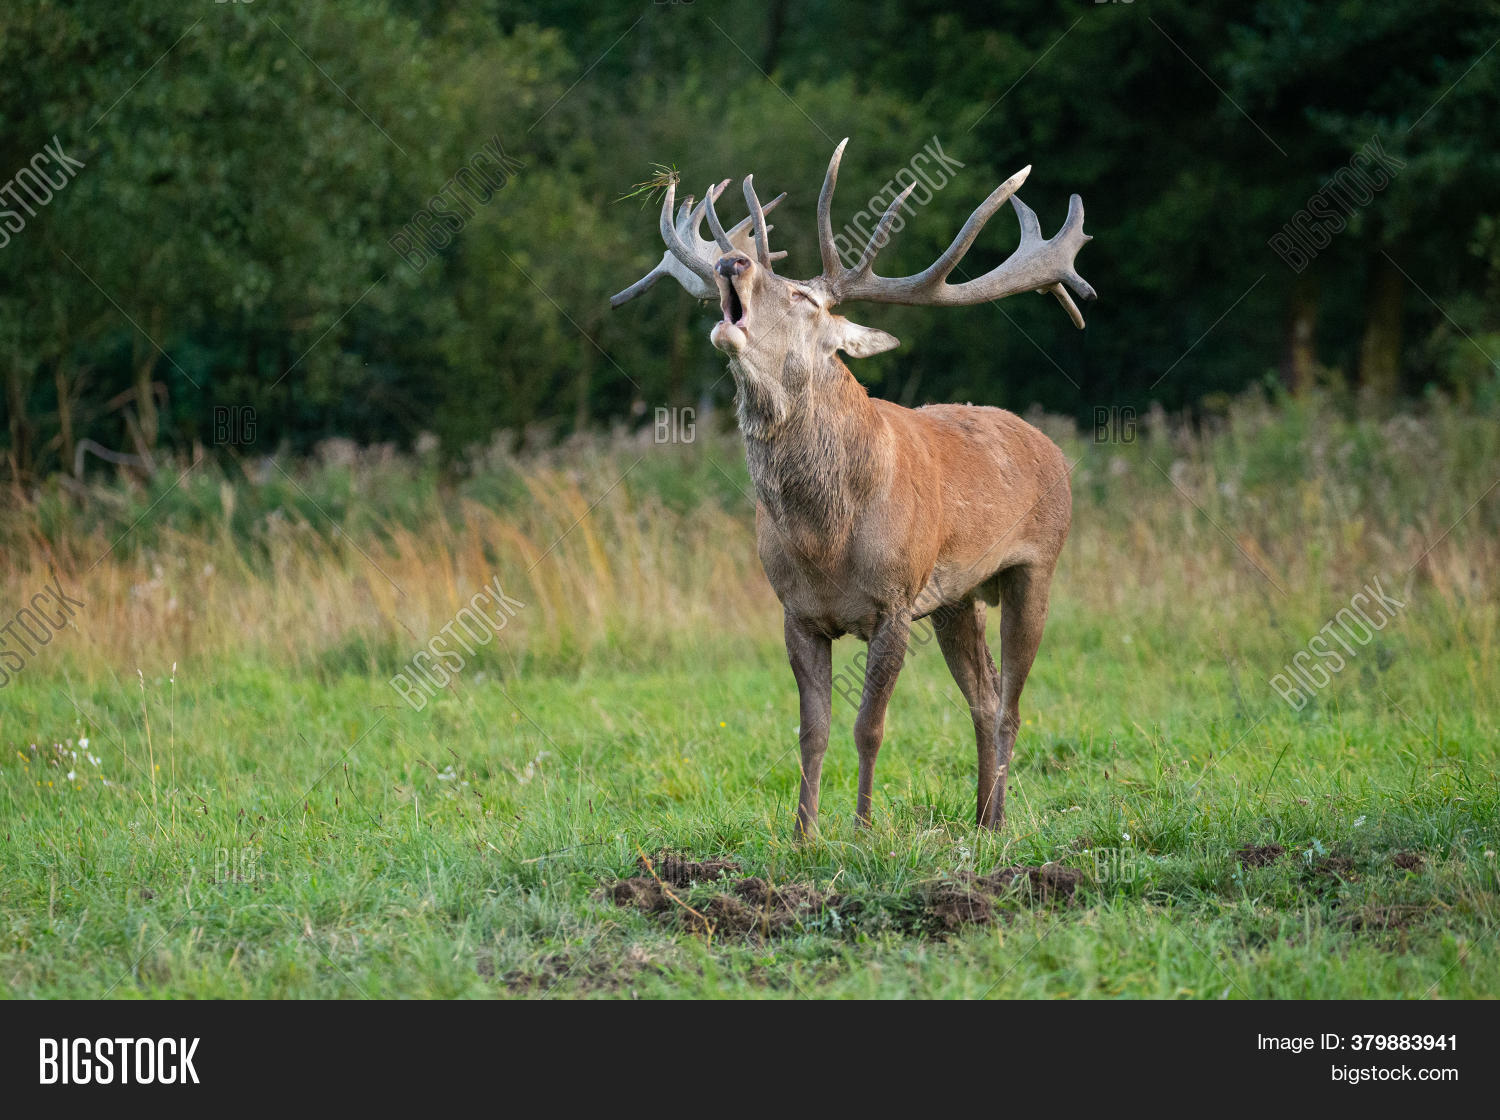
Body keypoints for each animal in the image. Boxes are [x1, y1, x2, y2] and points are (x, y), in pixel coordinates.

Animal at [612, 139, 1094, 836]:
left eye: (805, 300)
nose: (732, 259)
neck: (825, 538)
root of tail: (1052, 450)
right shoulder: (796, 612)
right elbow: (812, 731)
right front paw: (804, 833)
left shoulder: (894, 603)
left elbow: (870, 727)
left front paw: (864, 830)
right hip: (957, 598)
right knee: (984, 694)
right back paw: (981, 818)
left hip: (1037, 566)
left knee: (1010, 702)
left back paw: (998, 821)